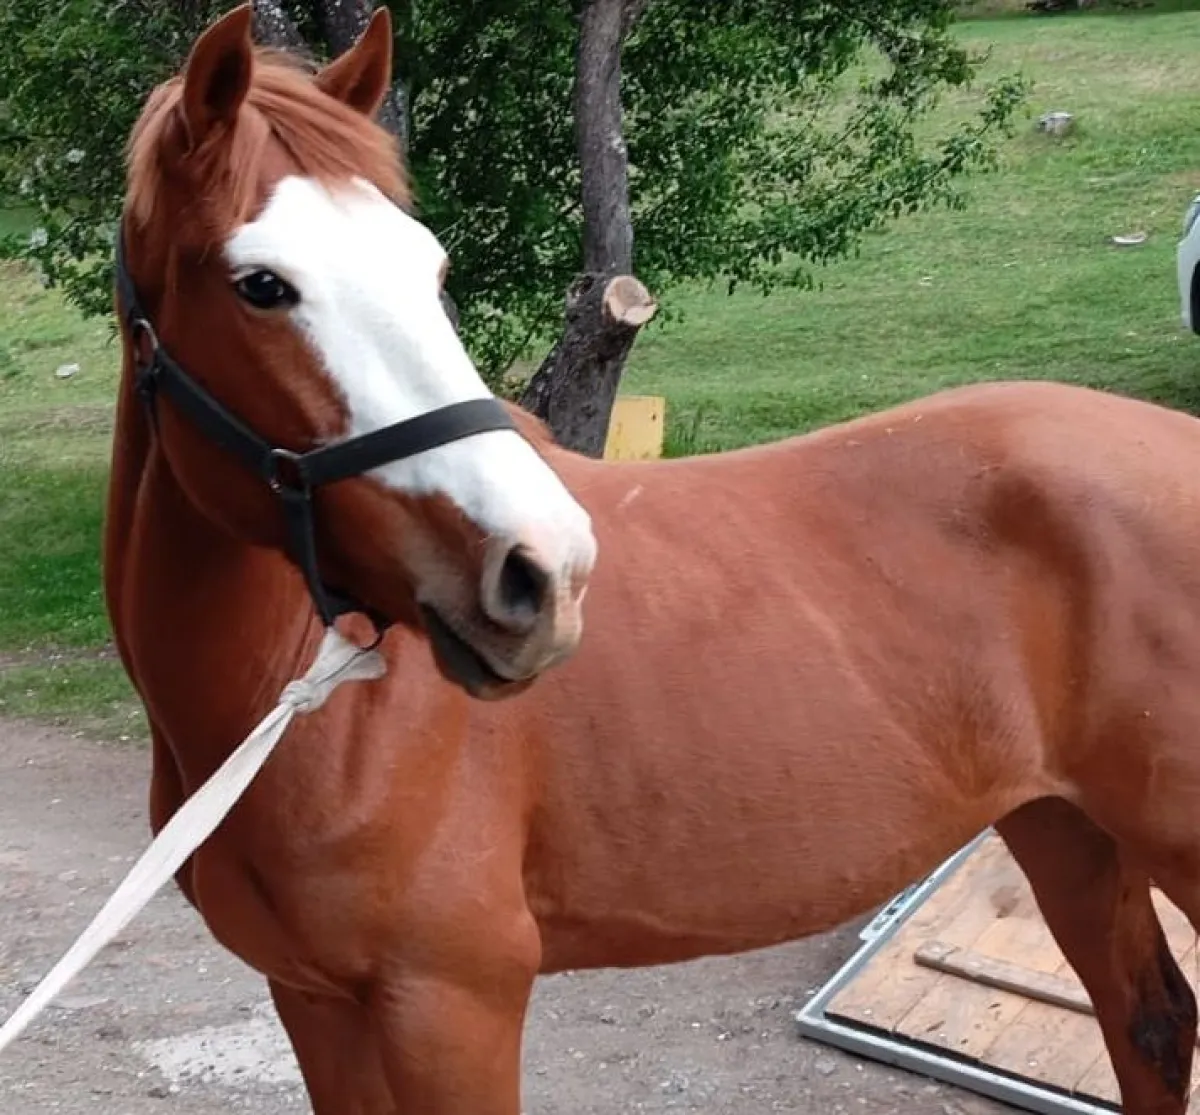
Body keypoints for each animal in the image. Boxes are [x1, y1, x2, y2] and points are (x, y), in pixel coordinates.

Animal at [103, 5, 1200, 1112]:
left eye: (432, 267)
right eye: (261, 285)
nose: (544, 571)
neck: (306, 707)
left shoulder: (451, 1003)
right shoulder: (313, 998)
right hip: (1065, 828)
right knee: (1148, 1024)